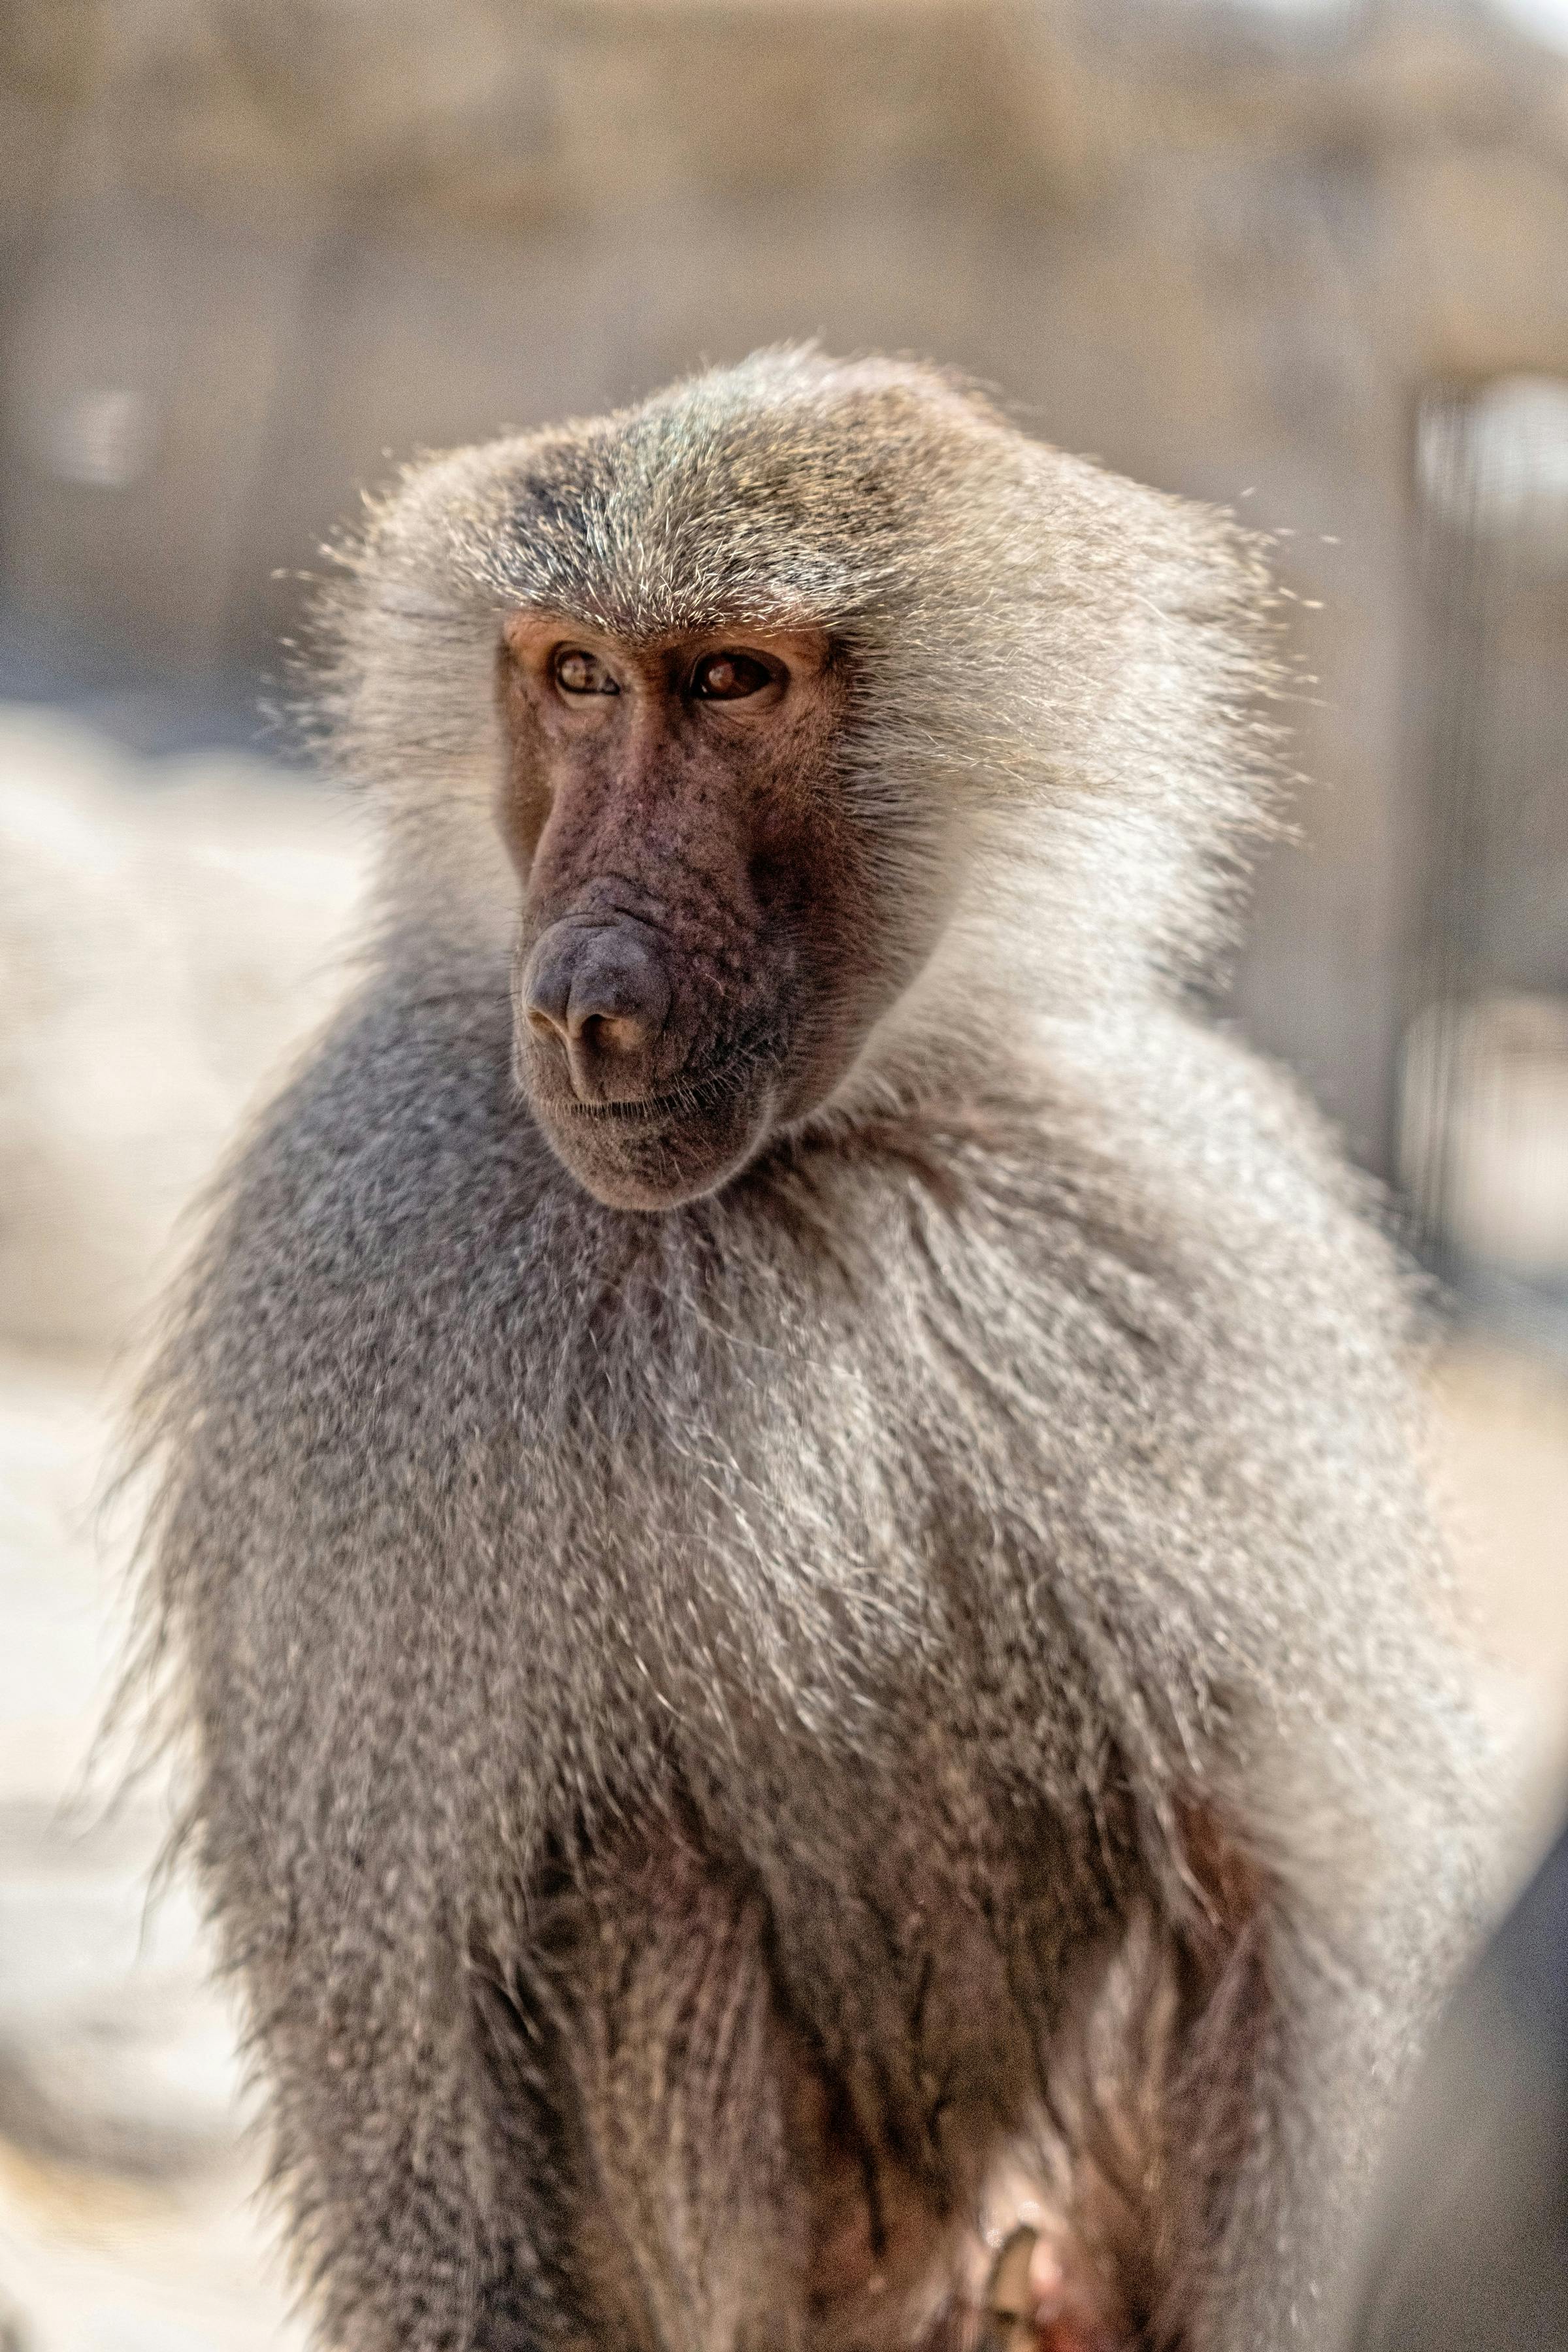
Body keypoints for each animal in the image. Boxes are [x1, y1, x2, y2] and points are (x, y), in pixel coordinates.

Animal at [130, 347, 1493, 2352]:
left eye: (727, 681)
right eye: (575, 676)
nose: (581, 1003)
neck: (806, 1173)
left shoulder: (1185, 1227)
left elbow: (1294, 1894)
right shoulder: (366, 1250)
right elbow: (401, 2008)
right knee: (627, 1875)